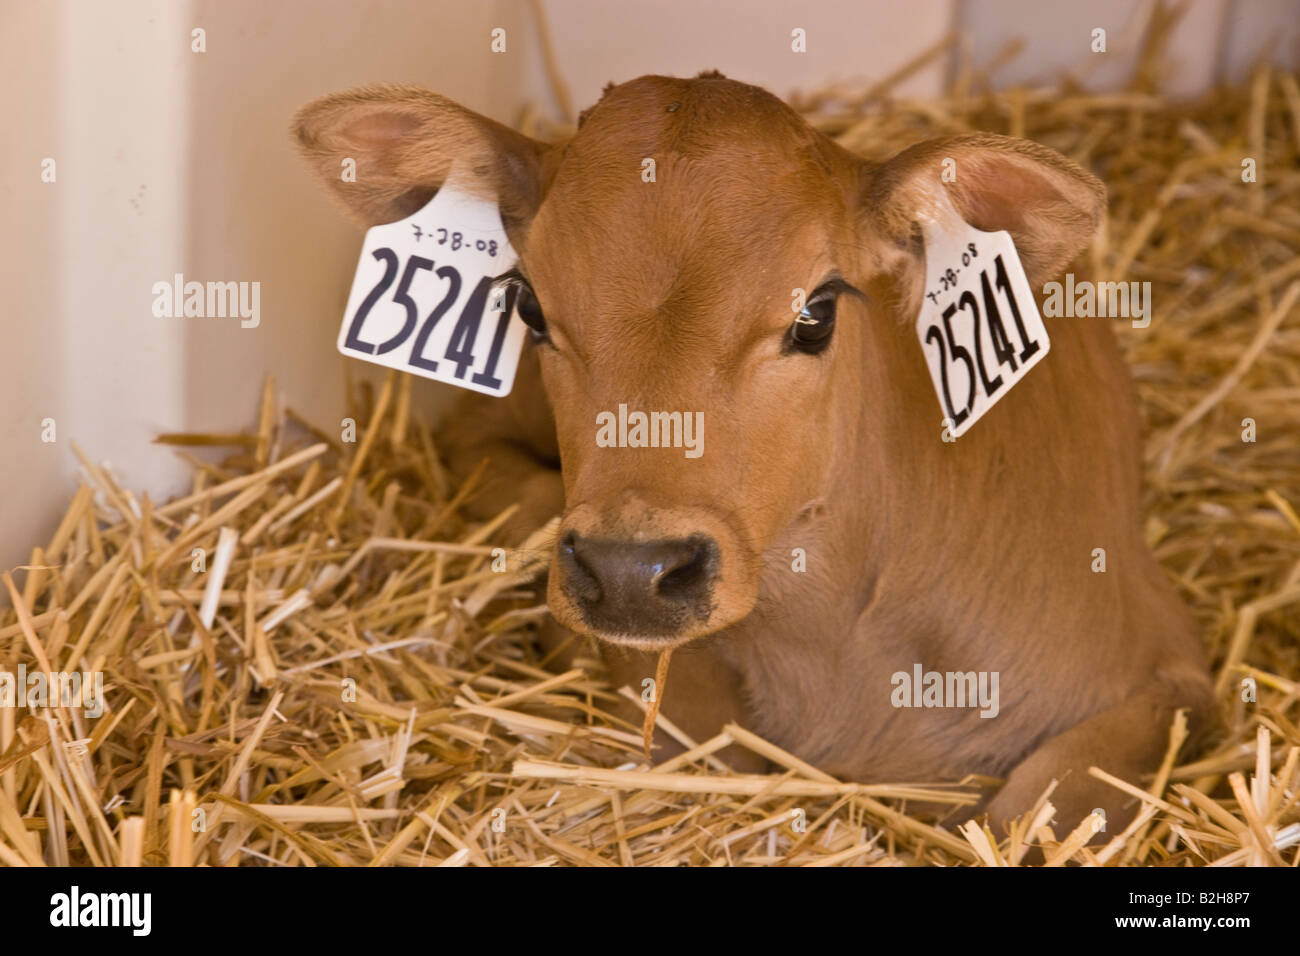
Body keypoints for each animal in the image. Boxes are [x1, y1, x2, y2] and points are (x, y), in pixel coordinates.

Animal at [293, 71, 1214, 842]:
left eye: (816, 313)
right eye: (528, 306)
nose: (630, 572)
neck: (832, 638)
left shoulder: (1171, 677)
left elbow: (1042, 807)